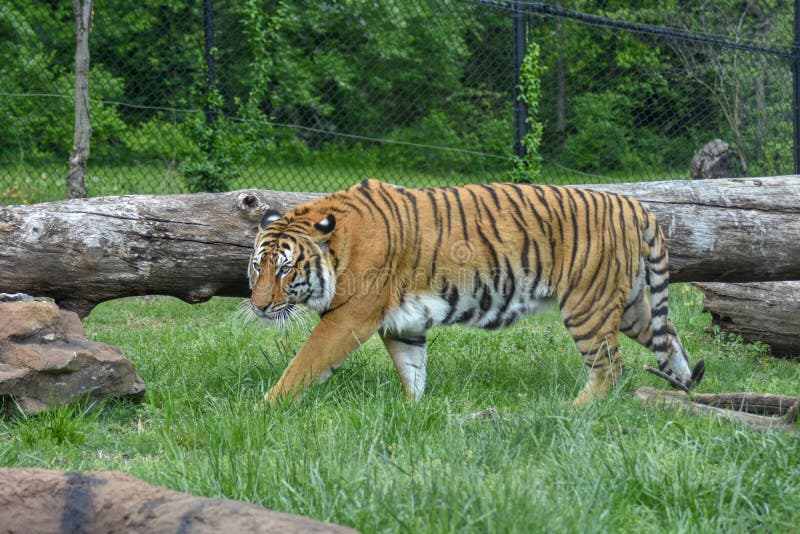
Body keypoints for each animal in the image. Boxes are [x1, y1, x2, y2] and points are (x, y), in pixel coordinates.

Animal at [248, 179, 705, 406]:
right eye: (258, 267)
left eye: (285, 269)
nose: (259, 306)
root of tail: (635, 205)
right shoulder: (401, 323)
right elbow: (412, 368)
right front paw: (412, 410)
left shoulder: (350, 316)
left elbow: (304, 364)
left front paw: (265, 407)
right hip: (628, 306)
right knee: (670, 338)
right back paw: (686, 393)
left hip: (587, 305)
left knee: (610, 367)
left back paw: (575, 410)